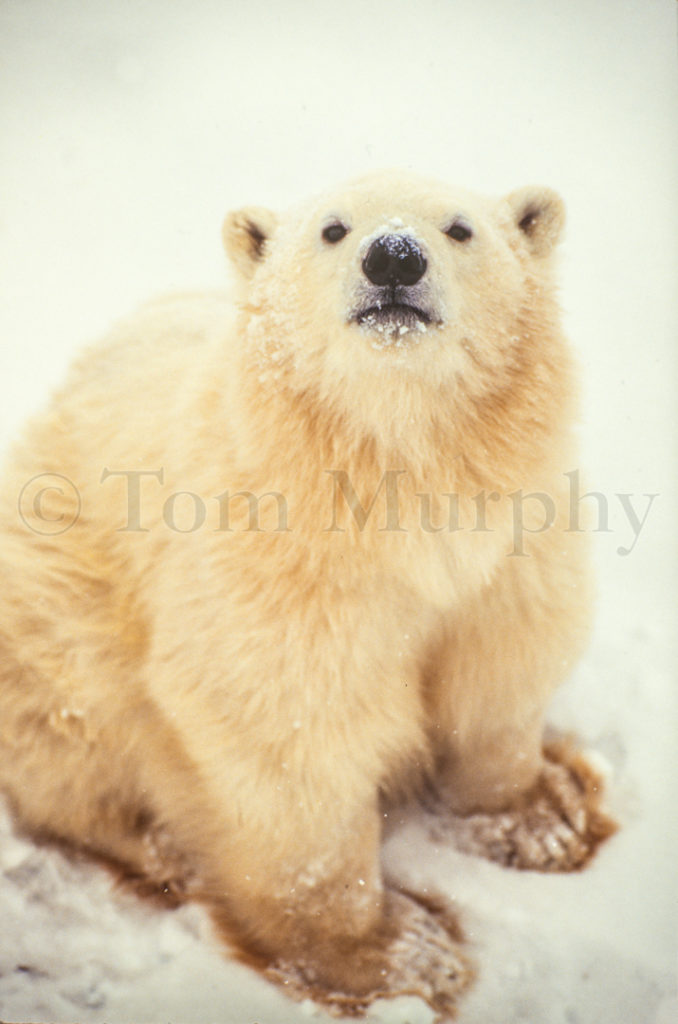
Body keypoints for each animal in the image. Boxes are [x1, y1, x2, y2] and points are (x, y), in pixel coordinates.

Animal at [0, 170, 615, 1020]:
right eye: (332, 229)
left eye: (460, 228)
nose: (394, 256)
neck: (395, 488)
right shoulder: (272, 560)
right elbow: (290, 738)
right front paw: (399, 952)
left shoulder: (513, 545)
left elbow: (502, 667)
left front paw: (540, 819)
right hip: (55, 590)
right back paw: (160, 841)